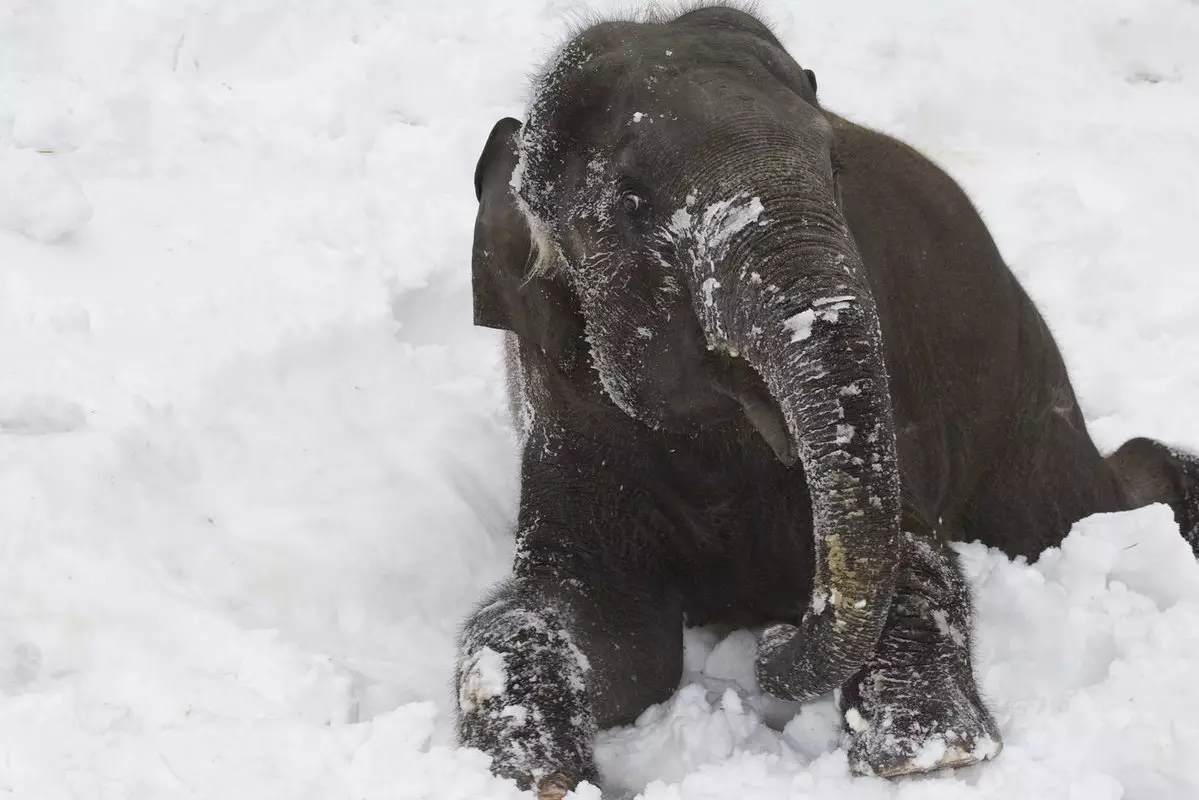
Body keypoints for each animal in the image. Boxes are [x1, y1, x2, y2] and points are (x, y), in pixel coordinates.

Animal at [453, 7, 1194, 800]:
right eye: (628, 202)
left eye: (834, 167)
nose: (774, 639)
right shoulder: (568, 413)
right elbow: (592, 625)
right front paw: (539, 775)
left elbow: (913, 555)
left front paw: (929, 754)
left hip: (1023, 402)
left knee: (1075, 506)